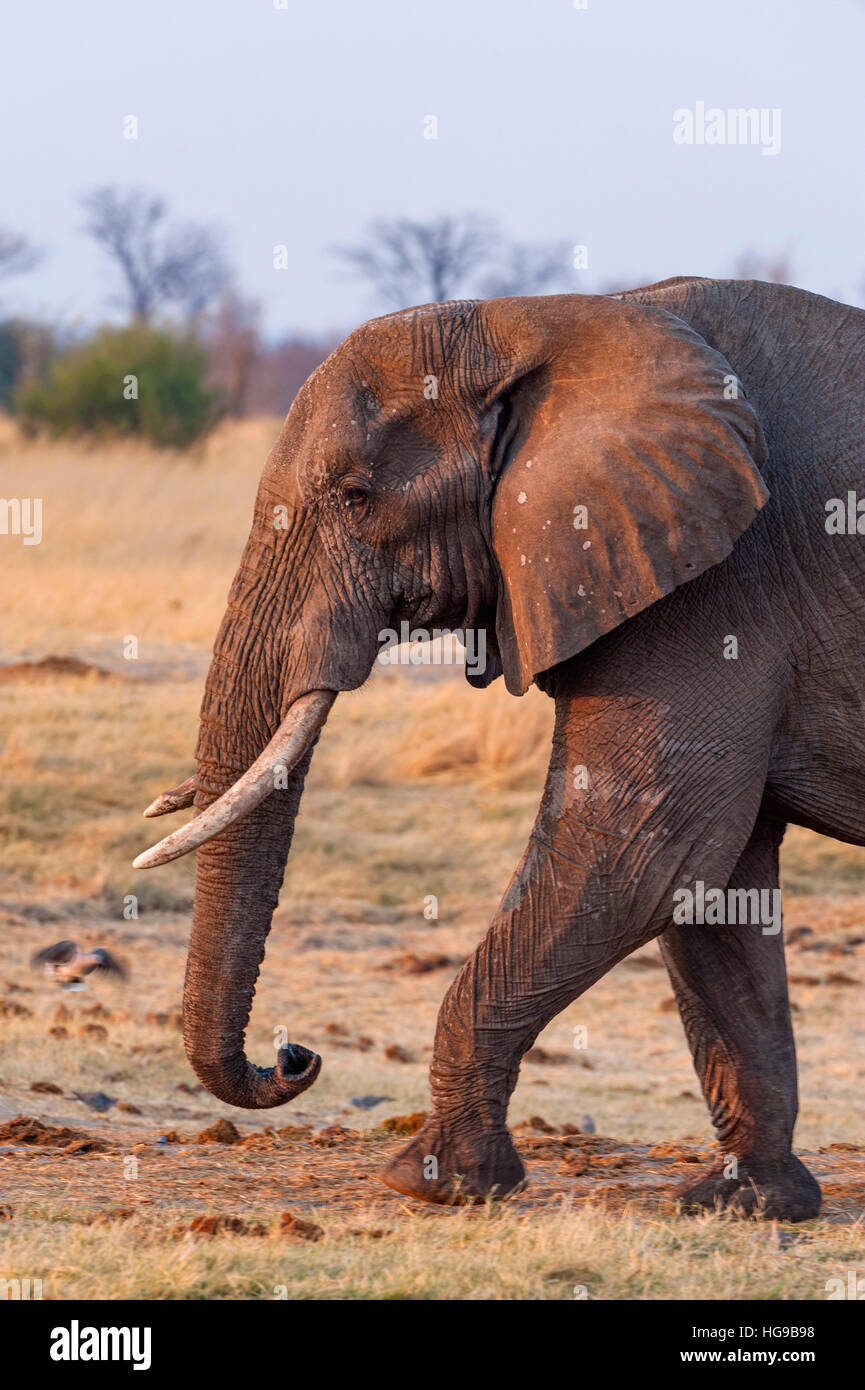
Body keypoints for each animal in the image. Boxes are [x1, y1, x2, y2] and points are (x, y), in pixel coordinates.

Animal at [135, 276, 865, 1220]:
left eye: (357, 497)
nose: (293, 1057)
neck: (542, 319)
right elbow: (713, 884)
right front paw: (745, 1203)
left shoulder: (715, 584)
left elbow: (639, 852)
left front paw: (432, 1182)